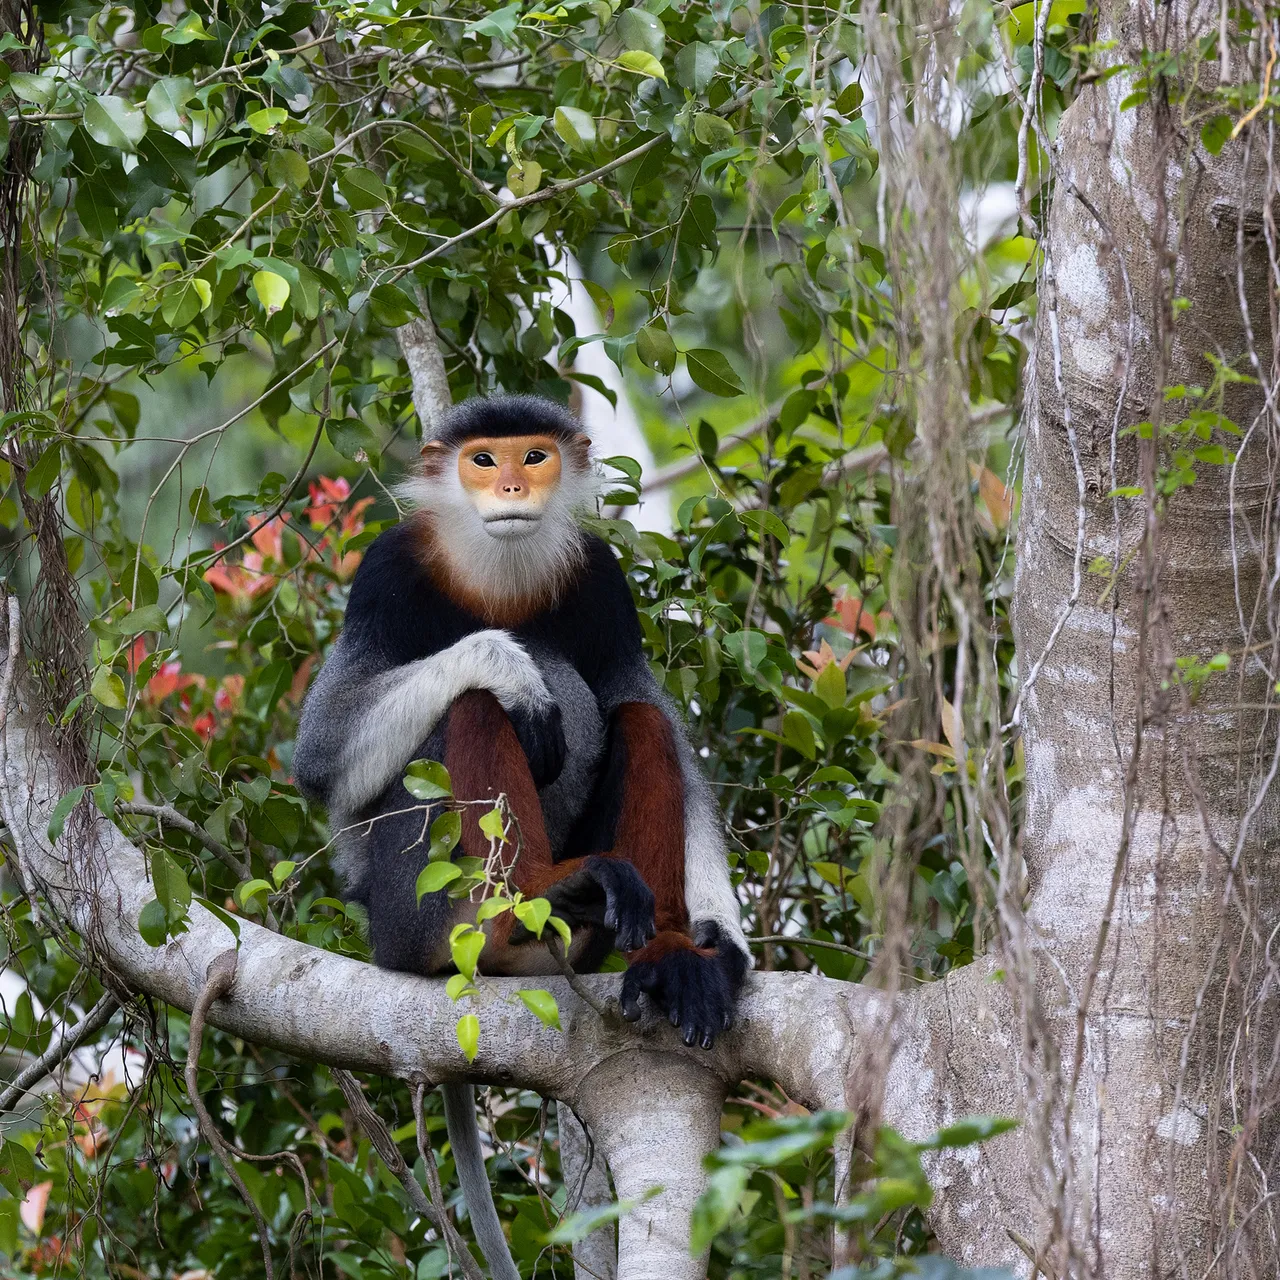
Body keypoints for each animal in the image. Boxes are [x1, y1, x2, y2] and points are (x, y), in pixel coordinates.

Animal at [292, 394, 748, 1277]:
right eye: (483, 459)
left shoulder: (601, 580)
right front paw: (512, 665)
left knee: (637, 720)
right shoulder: (386, 572)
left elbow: (653, 713)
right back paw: (535, 899)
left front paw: (723, 942)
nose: (509, 484)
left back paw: (666, 956)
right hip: (410, 908)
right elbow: (321, 758)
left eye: (534, 455)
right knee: (470, 706)